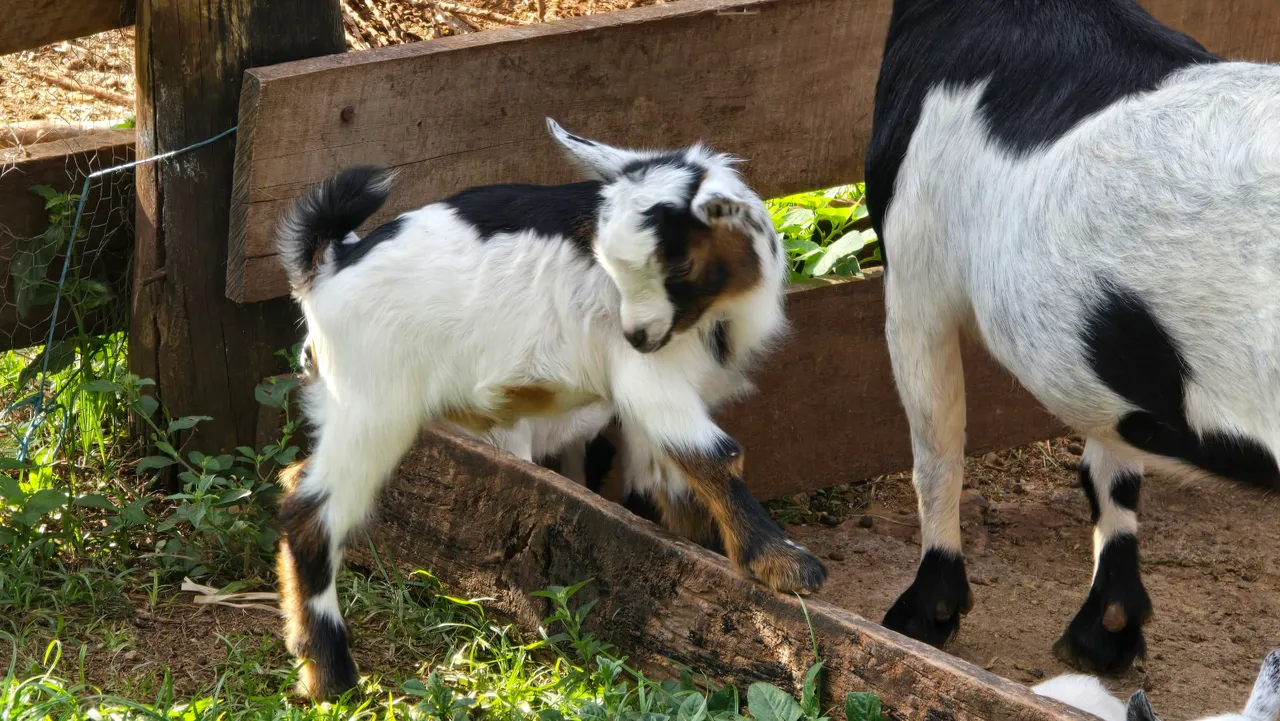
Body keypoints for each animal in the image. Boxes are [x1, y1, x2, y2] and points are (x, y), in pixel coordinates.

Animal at [274, 120, 826, 699]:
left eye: (678, 263)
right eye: (613, 266)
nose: (636, 335)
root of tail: (327, 268)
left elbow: (666, 483)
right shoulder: (649, 378)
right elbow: (715, 455)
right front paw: (783, 565)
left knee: (296, 479)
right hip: (375, 404)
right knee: (310, 515)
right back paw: (332, 677)